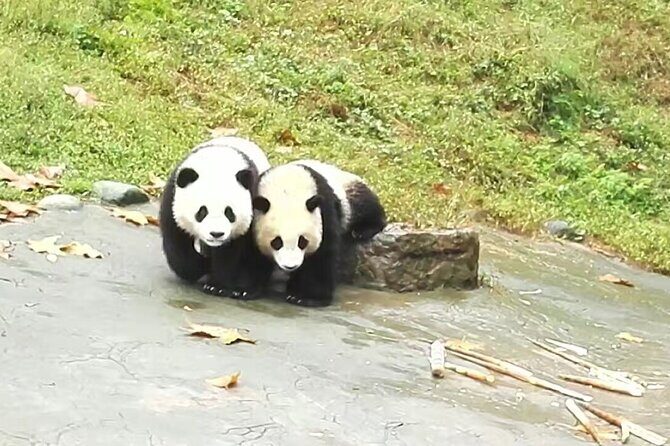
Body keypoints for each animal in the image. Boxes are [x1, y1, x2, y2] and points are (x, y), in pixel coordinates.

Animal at [159, 136, 271, 298]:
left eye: (229, 213)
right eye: (202, 211)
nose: (216, 234)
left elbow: (229, 253)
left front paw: (216, 286)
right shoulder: (172, 198)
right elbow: (177, 242)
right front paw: (199, 266)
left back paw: (247, 289)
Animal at [252, 160, 386, 307]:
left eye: (302, 241)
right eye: (276, 242)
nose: (290, 266)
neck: (287, 190)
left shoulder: (323, 211)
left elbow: (320, 255)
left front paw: (307, 297)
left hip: (348, 189)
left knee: (364, 204)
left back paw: (363, 230)